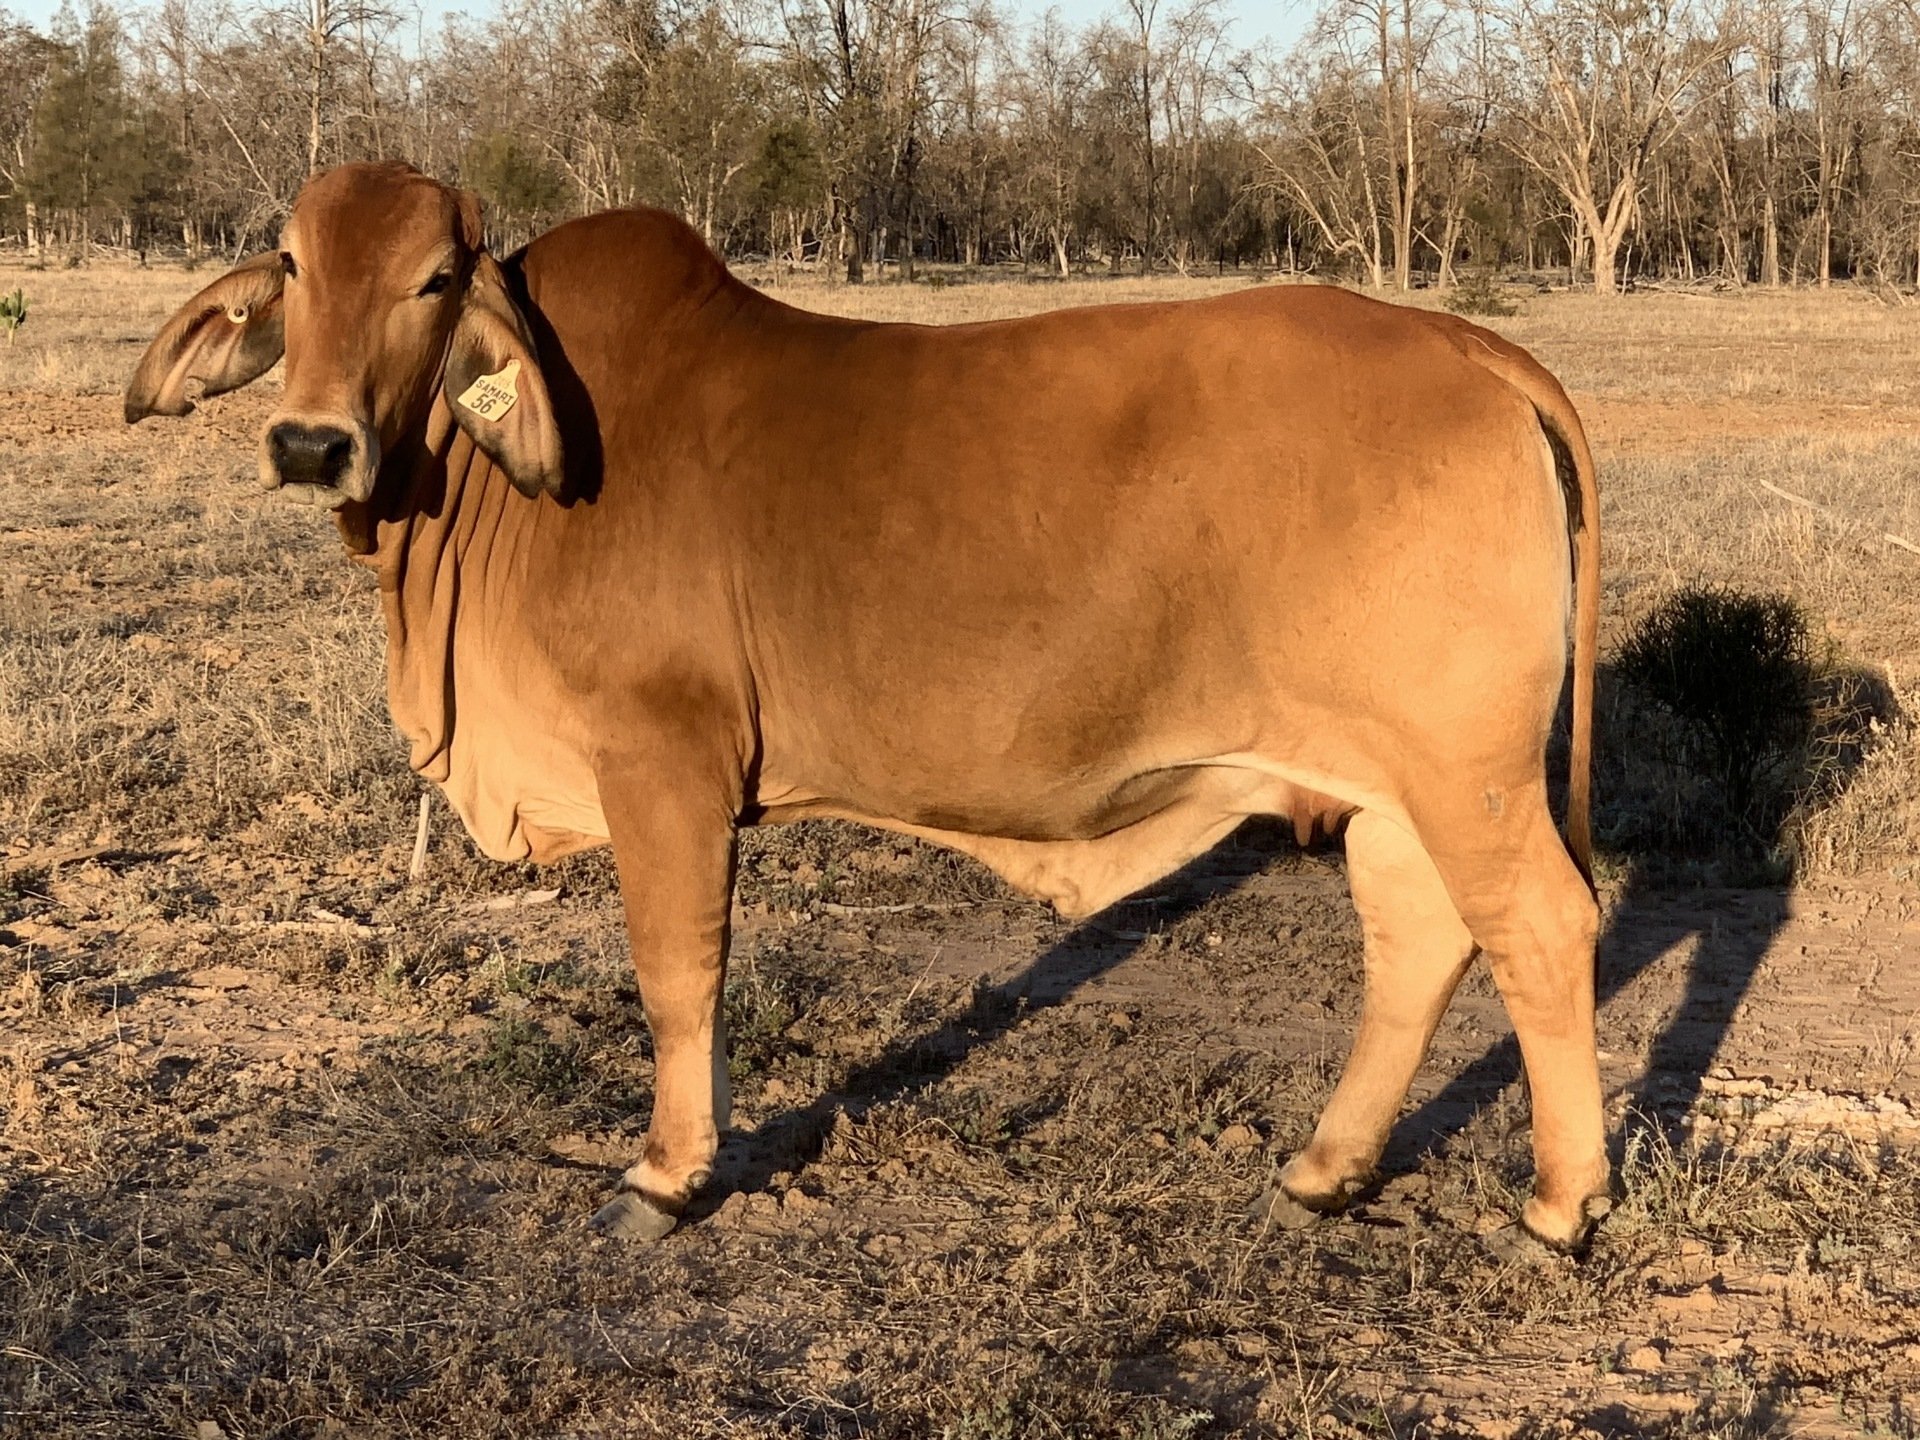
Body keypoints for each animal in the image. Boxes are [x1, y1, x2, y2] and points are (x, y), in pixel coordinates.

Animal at [127, 161, 1608, 1252]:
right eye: (295, 267)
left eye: (434, 280)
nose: (310, 441)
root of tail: (1470, 345)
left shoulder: (661, 761)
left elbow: (678, 973)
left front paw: (667, 1173)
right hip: (1390, 785)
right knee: (1420, 940)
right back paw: (1326, 1167)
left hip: (1466, 772)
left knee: (1541, 927)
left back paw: (1561, 1203)